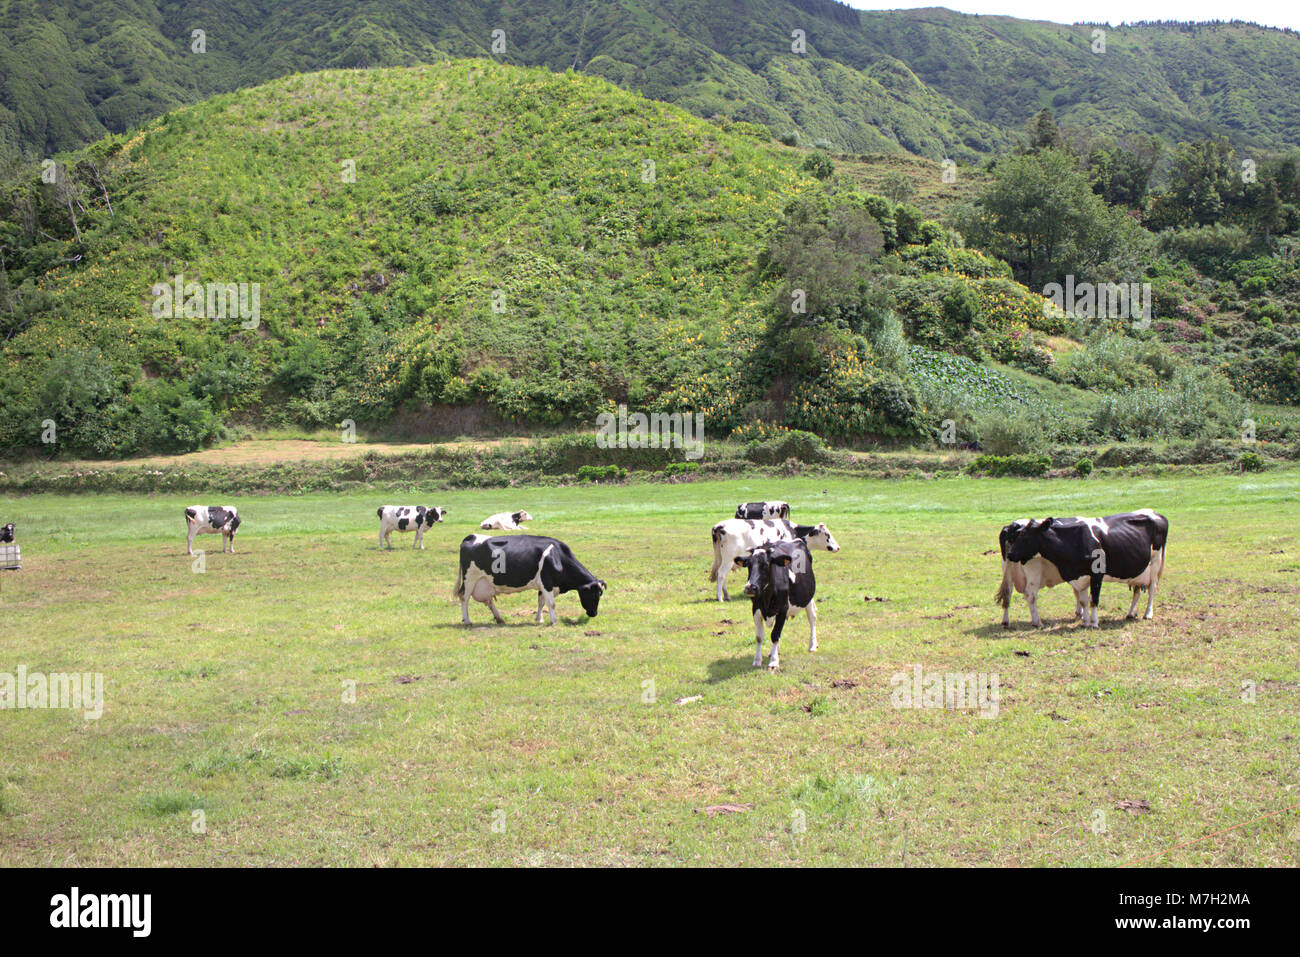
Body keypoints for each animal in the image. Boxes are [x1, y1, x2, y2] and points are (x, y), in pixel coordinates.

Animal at [453, 534, 605, 626]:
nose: (594, 613)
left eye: (600, 594)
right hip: (470, 578)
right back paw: (467, 620)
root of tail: (471, 536)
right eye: (593, 595)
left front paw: (539, 619)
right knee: (464, 597)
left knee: (488, 601)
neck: (557, 556)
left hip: (484, 582)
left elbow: (541, 602)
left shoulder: (543, 585)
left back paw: (499, 618)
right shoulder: (547, 582)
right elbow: (551, 603)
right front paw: (554, 621)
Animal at [709, 517, 839, 601]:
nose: (837, 547)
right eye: (827, 535)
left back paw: (727, 596)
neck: (791, 530)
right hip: (729, 558)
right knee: (721, 574)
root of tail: (719, 526)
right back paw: (720, 597)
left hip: (722, 558)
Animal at [735, 539, 817, 670]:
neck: (766, 598)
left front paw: (773, 662)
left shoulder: (782, 609)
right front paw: (757, 660)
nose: (750, 587)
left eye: (765, 565)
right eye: (748, 565)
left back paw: (812, 645)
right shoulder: (755, 609)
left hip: (808, 596)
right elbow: (759, 637)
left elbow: (775, 635)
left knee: (812, 617)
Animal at [1005, 510, 1169, 627]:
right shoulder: (1080, 575)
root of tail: (1156, 514)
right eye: (1018, 536)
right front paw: (1085, 622)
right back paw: (1130, 613)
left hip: (1156, 561)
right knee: (1137, 590)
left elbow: (1093, 600)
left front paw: (1094, 623)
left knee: (1152, 588)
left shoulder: (1097, 574)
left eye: (1026, 537)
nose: (1010, 554)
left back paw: (1148, 614)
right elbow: (1083, 600)